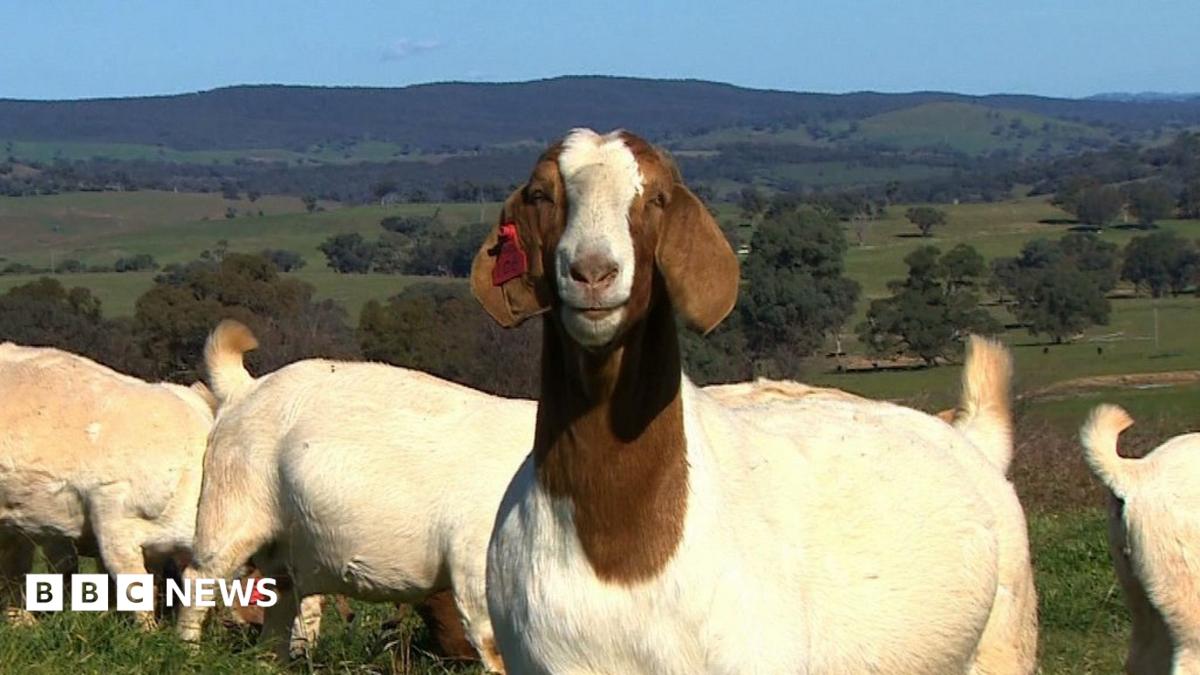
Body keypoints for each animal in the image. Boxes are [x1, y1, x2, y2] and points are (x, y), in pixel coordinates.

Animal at [176, 321, 533, 671]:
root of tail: (246, 388)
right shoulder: (476, 567)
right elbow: (496, 646)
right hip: (230, 515)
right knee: (198, 580)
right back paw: (189, 655)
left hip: (282, 548)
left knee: (278, 599)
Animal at [471, 128, 1036, 674]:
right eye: (541, 195)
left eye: (656, 198)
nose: (592, 272)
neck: (619, 550)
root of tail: (971, 436)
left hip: (1005, 640)